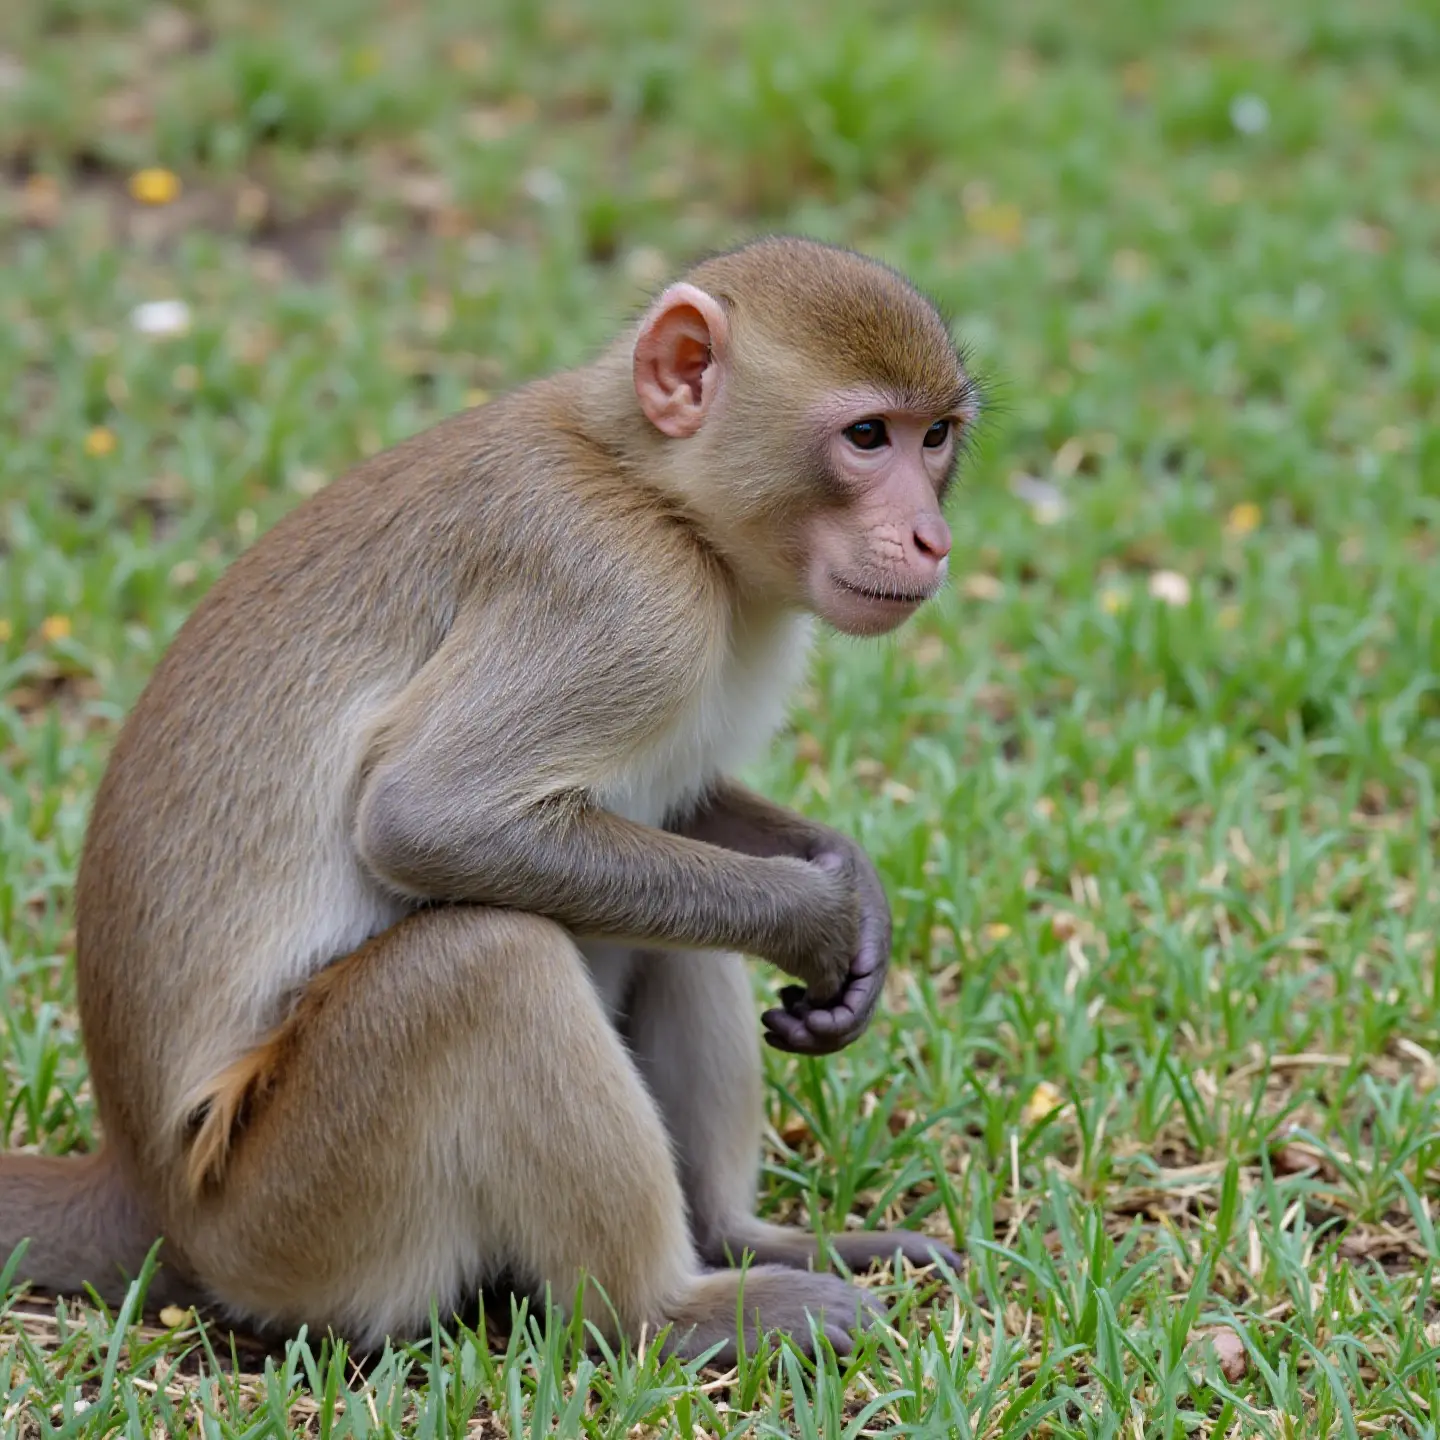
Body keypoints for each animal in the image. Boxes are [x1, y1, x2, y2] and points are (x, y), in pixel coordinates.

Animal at [0, 236, 978, 1364]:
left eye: (934, 437)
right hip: (297, 1214)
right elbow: (427, 817)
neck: (652, 489)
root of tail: (144, 1193)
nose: (931, 537)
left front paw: (852, 892)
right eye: (867, 436)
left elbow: (674, 805)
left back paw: (737, 1240)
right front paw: (817, 915)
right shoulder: (622, 597)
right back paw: (667, 1311)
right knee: (488, 960)